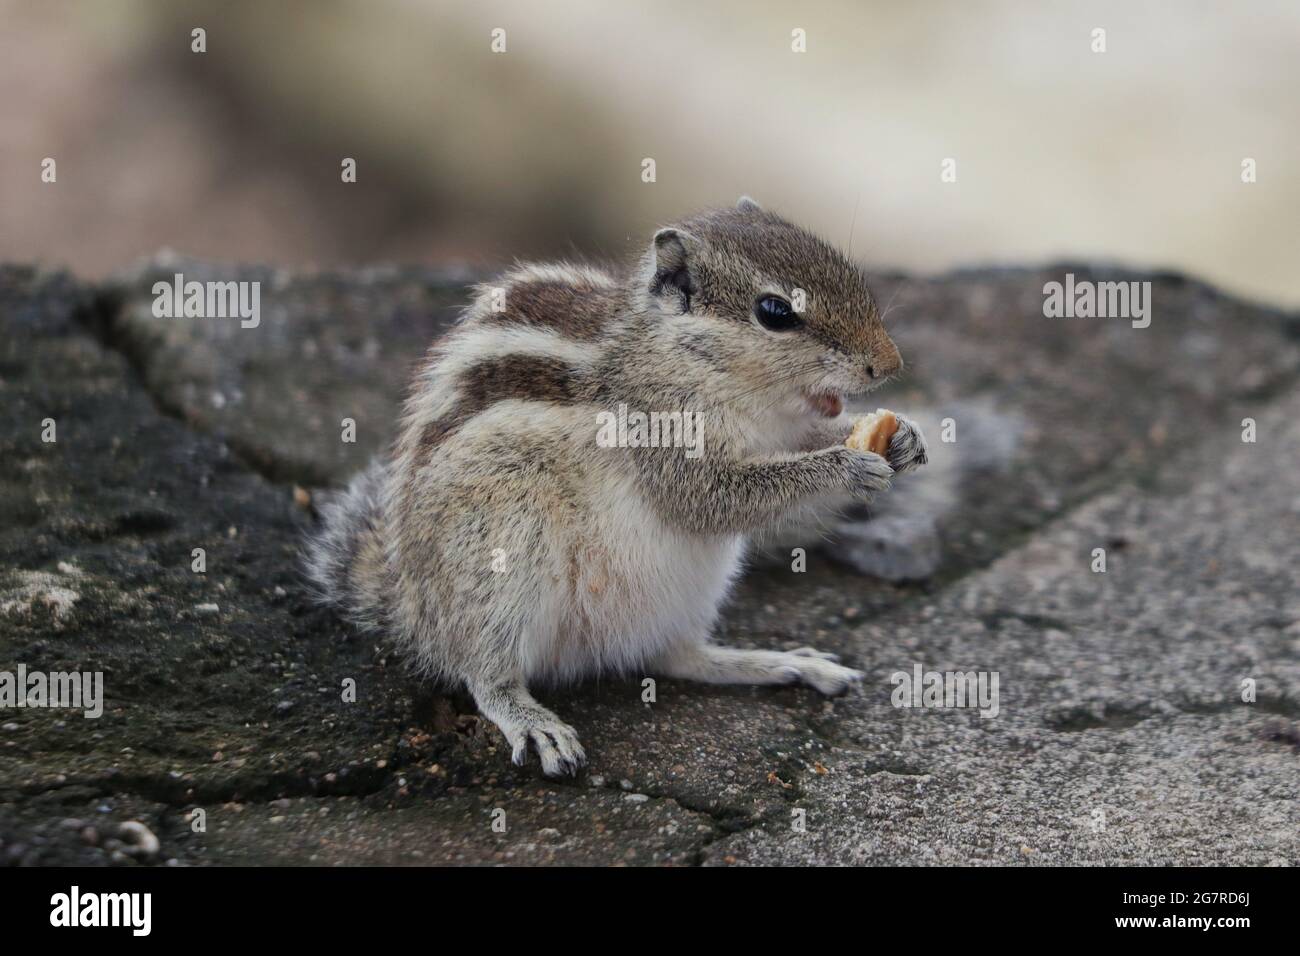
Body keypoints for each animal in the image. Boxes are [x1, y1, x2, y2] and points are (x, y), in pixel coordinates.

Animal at [305, 197, 928, 776]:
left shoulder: (784, 428)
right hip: (502, 553)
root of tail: (411, 606)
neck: (687, 361)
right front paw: (846, 467)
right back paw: (527, 718)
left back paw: (782, 663)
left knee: (677, 658)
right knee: (482, 671)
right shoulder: (664, 437)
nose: (889, 363)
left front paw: (901, 439)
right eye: (774, 312)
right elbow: (715, 497)